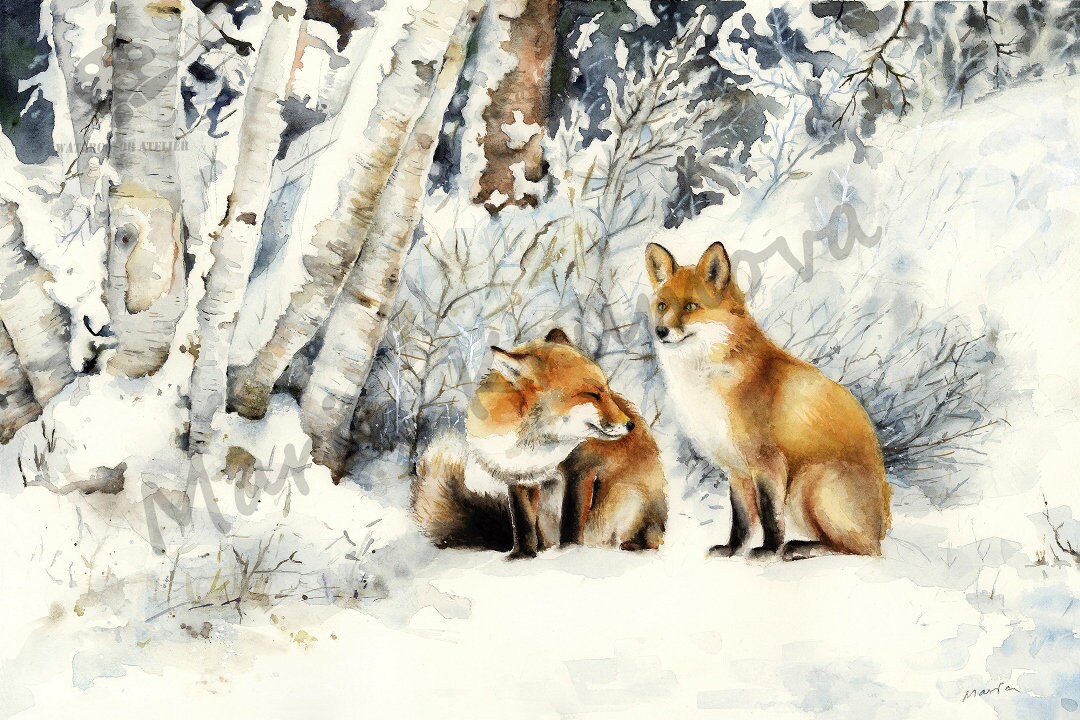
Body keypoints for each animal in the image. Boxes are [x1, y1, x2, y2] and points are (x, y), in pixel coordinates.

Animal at [411, 328, 667, 557]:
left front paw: (570, 553)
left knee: (648, 540)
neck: (533, 446)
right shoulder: (520, 478)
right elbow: (523, 524)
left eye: (607, 390)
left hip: (628, 499)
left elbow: (572, 523)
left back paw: (630, 546)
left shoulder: (580, 470)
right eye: (592, 394)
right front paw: (522, 556)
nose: (630, 425)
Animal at [645, 241, 891, 561]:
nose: (660, 332)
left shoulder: (767, 462)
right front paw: (731, 551)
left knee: (860, 550)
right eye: (662, 305)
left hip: (806, 482)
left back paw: (799, 548)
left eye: (690, 306)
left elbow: (770, 515)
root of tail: (883, 528)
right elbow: (741, 519)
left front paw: (767, 551)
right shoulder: (737, 470)